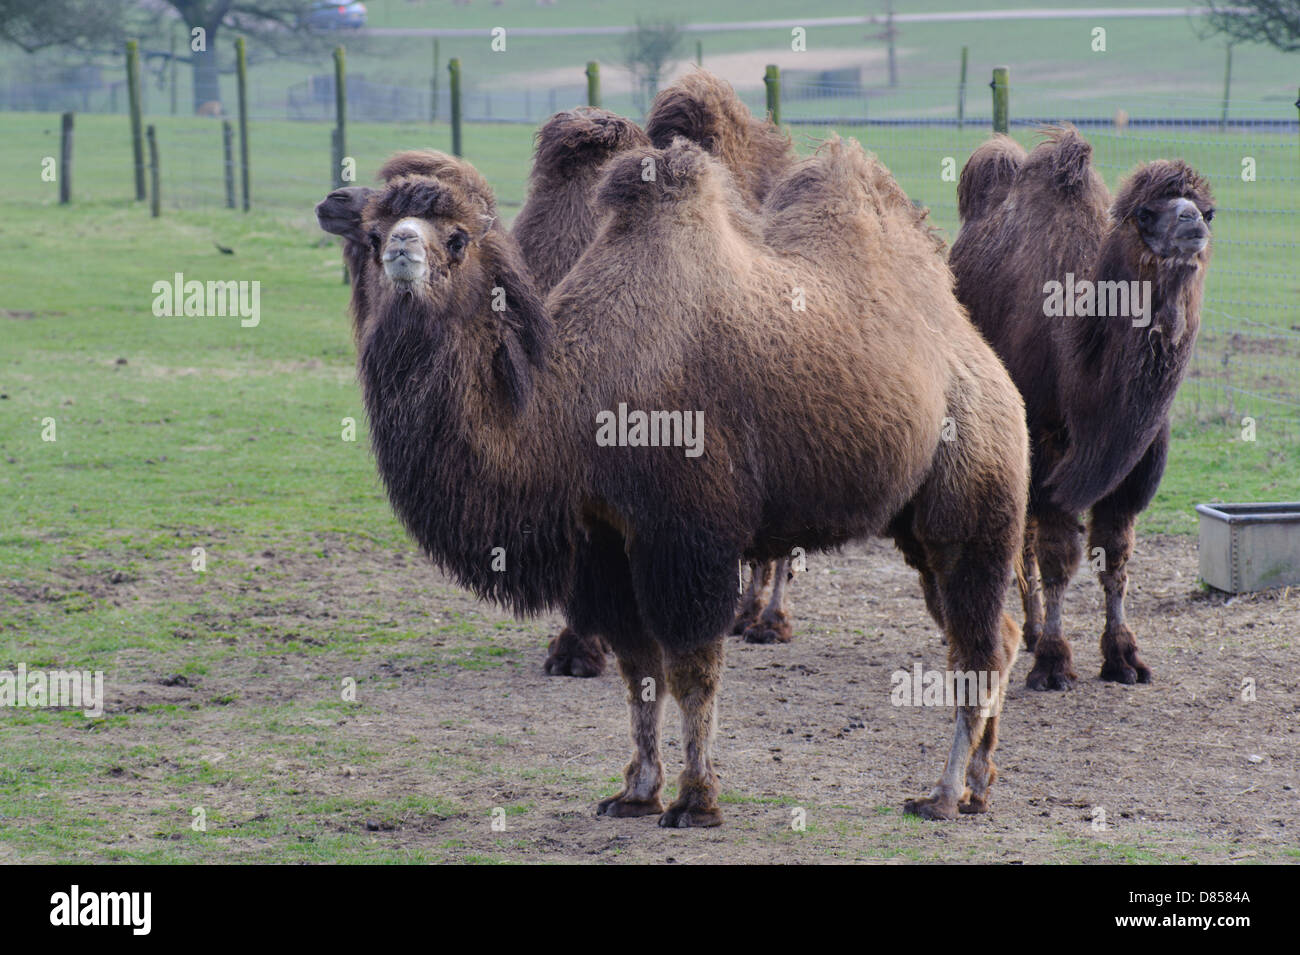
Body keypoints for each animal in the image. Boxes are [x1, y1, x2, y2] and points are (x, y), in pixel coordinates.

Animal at [318, 136, 1029, 825]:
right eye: (373, 233)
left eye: (458, 237)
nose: (403, 249)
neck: (577, 406)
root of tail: (975, 349)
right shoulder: (604, 542)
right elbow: (639, 671)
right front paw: (636, 791)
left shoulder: (687, 535)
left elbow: (691, 670)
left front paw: (695, 800)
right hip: (918, 524)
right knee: (994, 635)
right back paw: (980, 785)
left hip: (976, 493)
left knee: (974, 646)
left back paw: (942, 795)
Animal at [949, 127, 1214, 690]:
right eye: (1145, 213)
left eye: (1210, 209)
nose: (1192, 223)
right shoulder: (1048, 449)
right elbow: (1059, 558)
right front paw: (1053, 663)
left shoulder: (1133, 467)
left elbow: (1115, 558)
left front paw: (1123, 657)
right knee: (1019, 538)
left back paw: (1028, 632)